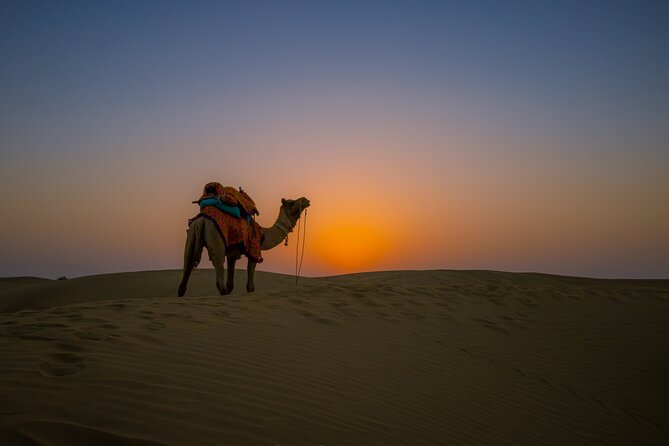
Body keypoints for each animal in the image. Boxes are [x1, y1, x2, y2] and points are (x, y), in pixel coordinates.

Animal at [178, 197, 310, 296]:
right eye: (291, 202)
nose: (305, 199)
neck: (263, 234)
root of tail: (202, 221)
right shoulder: (254, 251)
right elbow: (250, 286)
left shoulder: (232, 254)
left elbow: (231, 284)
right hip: (216, 241)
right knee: (220, 279)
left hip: (191, 236)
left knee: (185, 272)